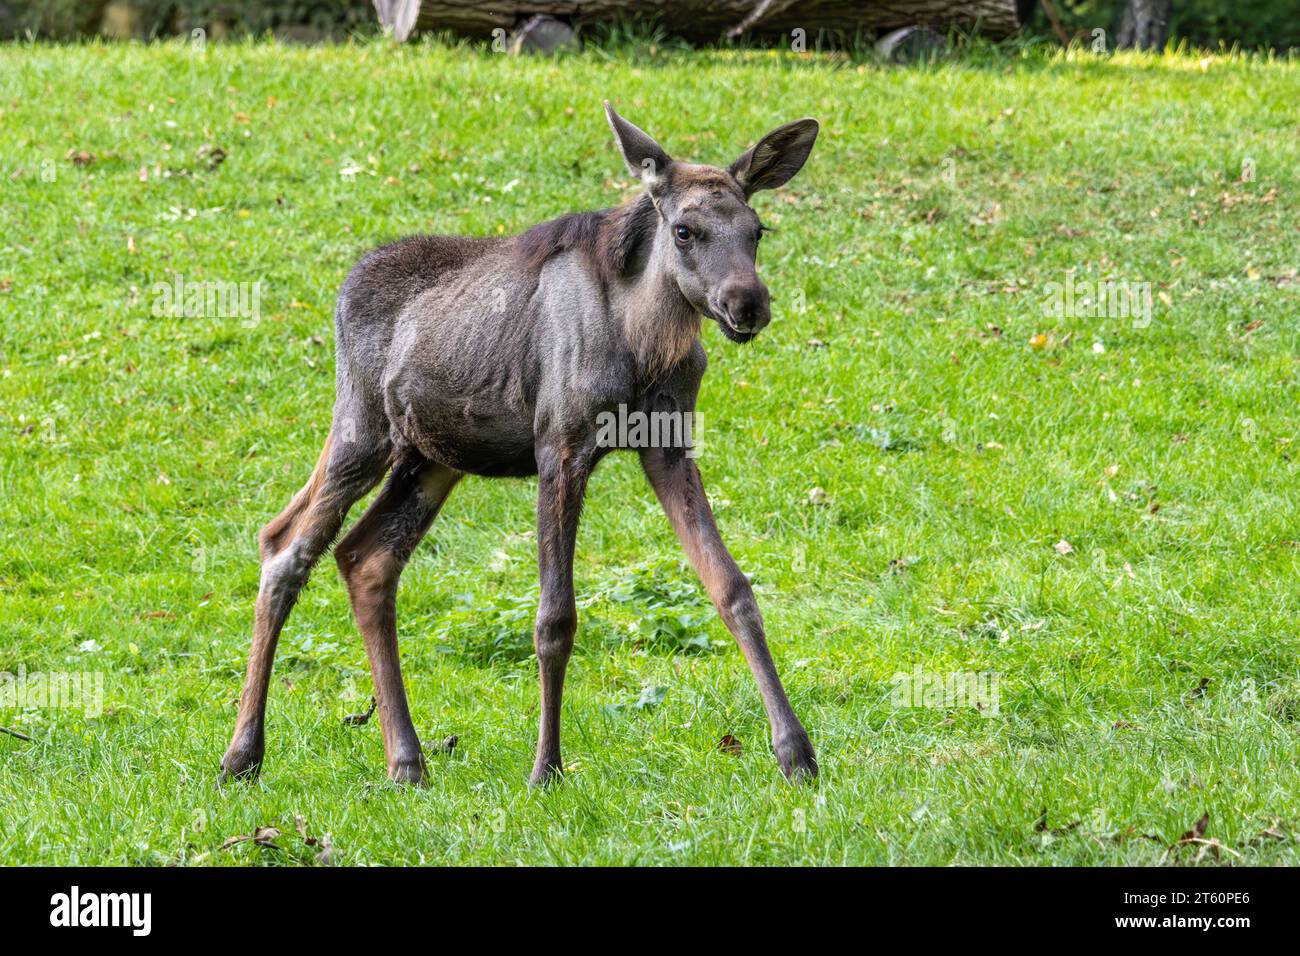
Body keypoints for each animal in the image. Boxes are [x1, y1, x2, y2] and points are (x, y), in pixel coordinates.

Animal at [220, 103, 821, 788]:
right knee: (286, 546)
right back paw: (243, 753)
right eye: (685, 230)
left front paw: (795, 752)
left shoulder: (668, 446)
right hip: (361, 430)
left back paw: (407, 760)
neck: (645, 341)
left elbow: (732, 588)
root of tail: (345, 289)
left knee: (365, 558)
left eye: (756, 229)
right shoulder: (559, 446)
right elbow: (555, 618)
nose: (747, 303)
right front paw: (546, 766)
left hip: (430, 457)